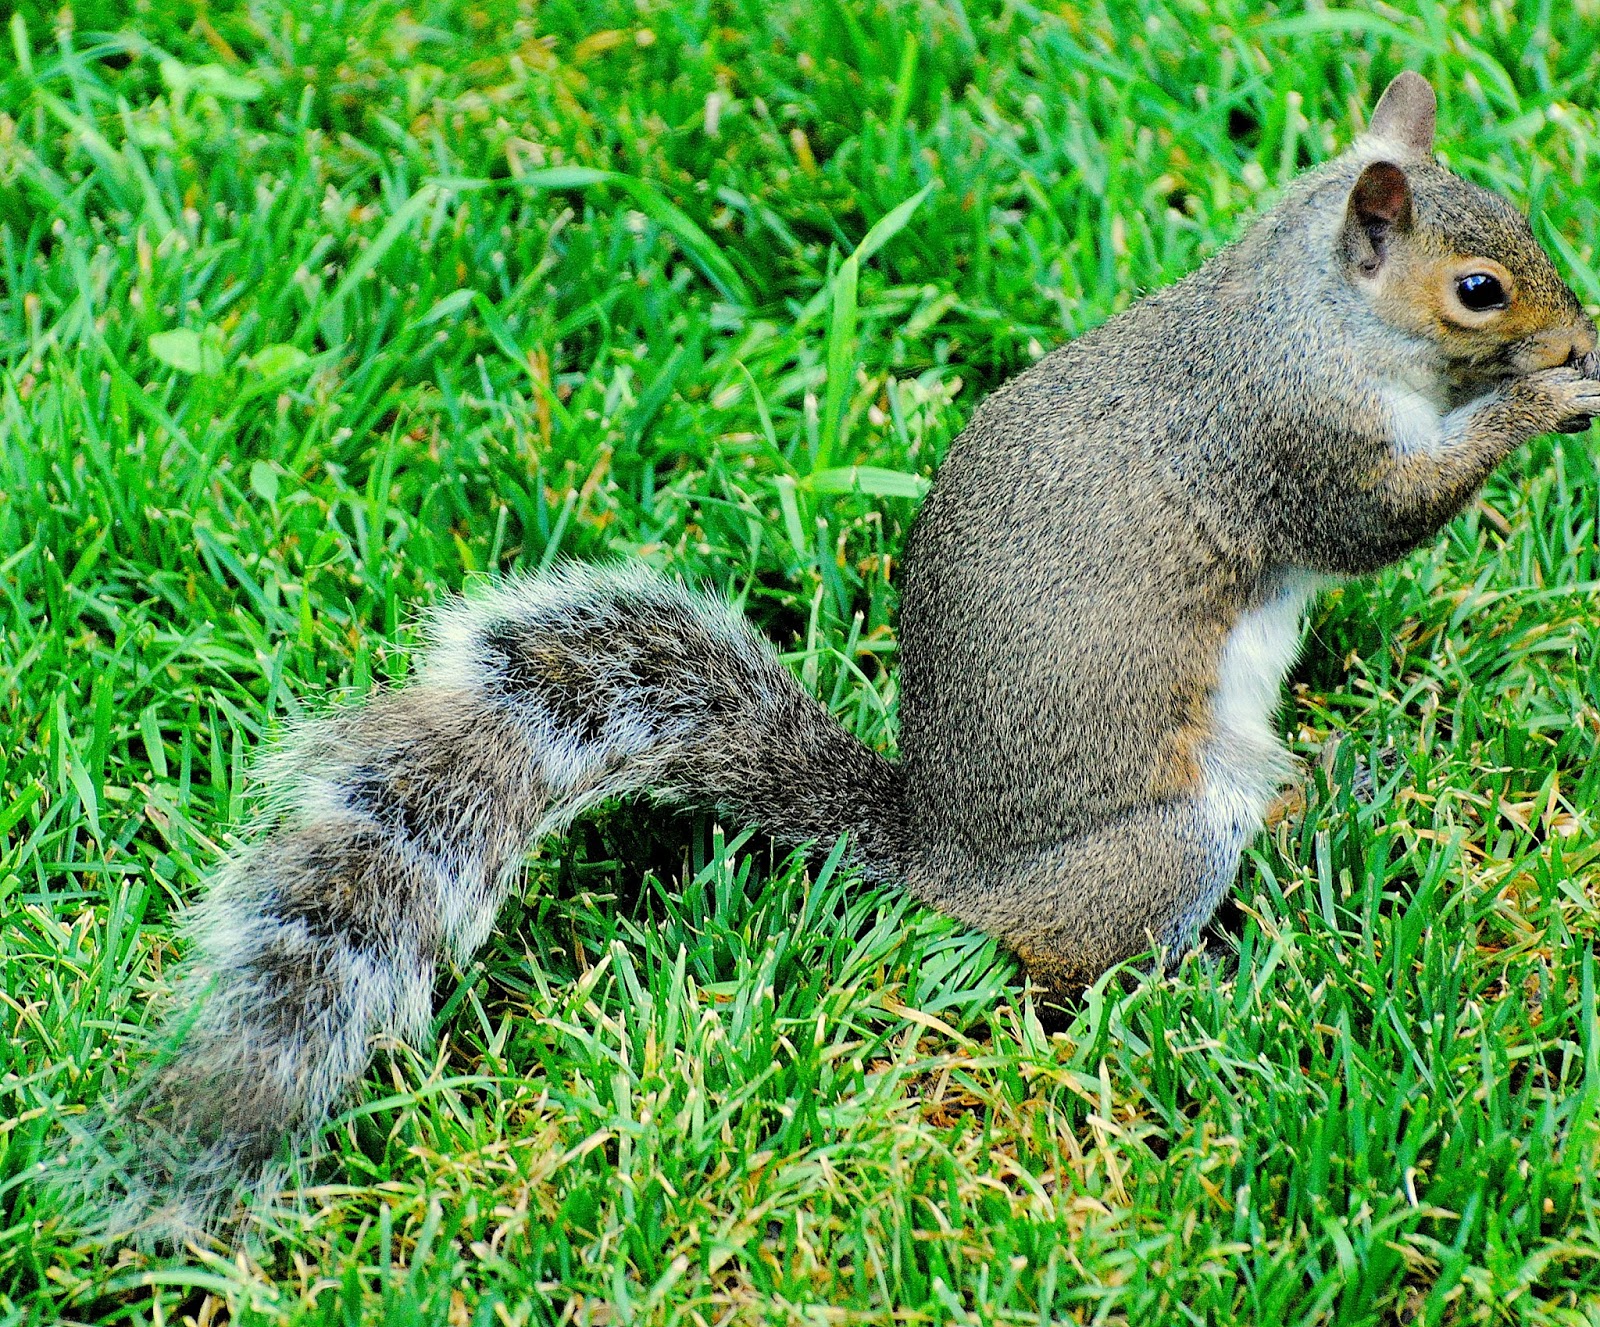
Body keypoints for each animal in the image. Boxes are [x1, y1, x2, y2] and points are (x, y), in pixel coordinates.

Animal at [68, 72, 1600, 1244]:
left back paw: (1339, 791)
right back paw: (1212, 981)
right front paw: (1544, 402)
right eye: (1478, 288)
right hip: (1158, 848)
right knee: (1072, 970)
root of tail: (945, 864)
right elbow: (1382, 518)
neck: (1309, 314)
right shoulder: (1289, 439)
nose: (1580, 332)